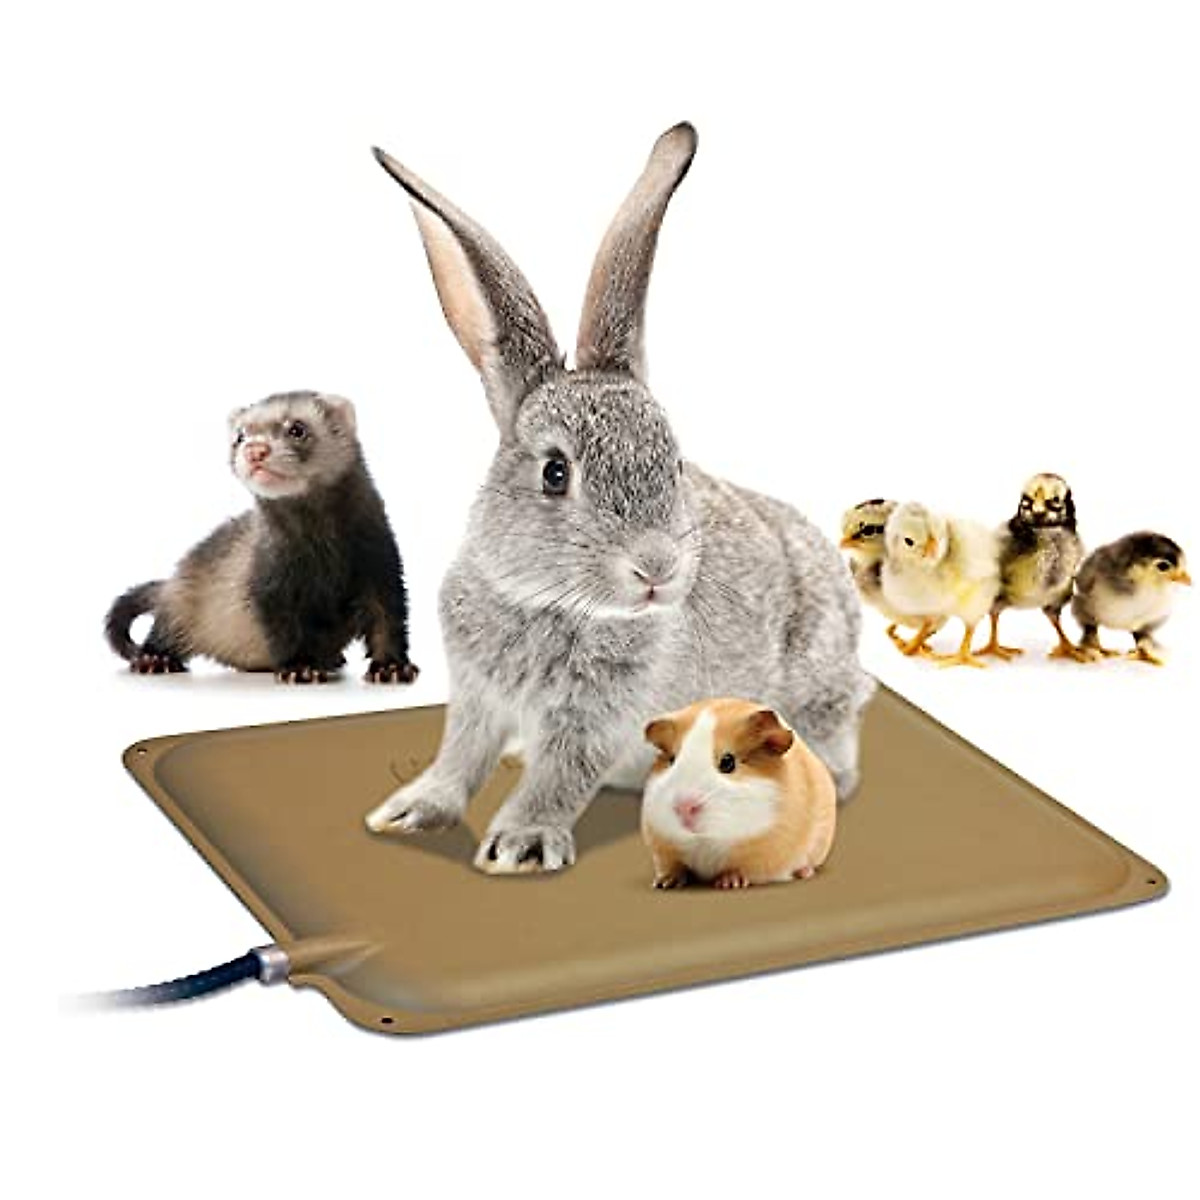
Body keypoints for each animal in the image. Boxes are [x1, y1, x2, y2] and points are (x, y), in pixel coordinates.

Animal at [364, 122, 875, 874]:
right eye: (555, 473)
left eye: (675, 463)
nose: (657, 567)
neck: (549, 602)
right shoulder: (479, 695)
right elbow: (462, 754)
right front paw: (411, 810)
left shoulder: (602, 715)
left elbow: (561, 774)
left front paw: (519, 843)